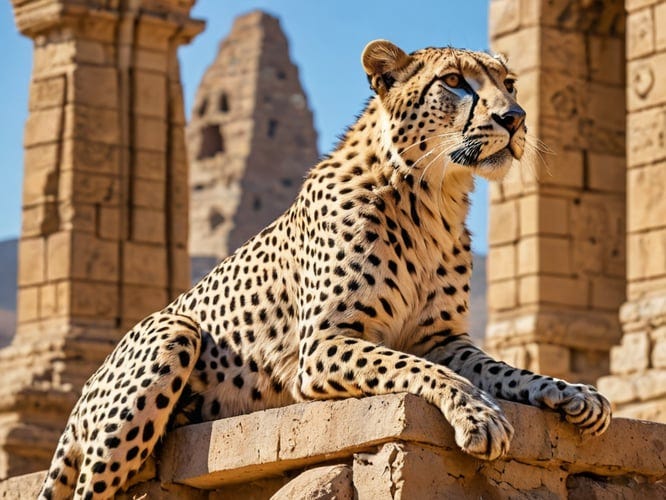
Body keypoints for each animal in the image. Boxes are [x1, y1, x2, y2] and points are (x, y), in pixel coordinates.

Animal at [39, 40, 611, 499]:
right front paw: (478, 415)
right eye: (453, 81)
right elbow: (420, 369)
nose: (514, 118)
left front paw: (572, 391)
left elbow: (504, 369)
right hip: (173, 331)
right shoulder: (322, 346)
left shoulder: (444, 339)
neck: (433, 196)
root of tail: (81, 396)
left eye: (509, 83)